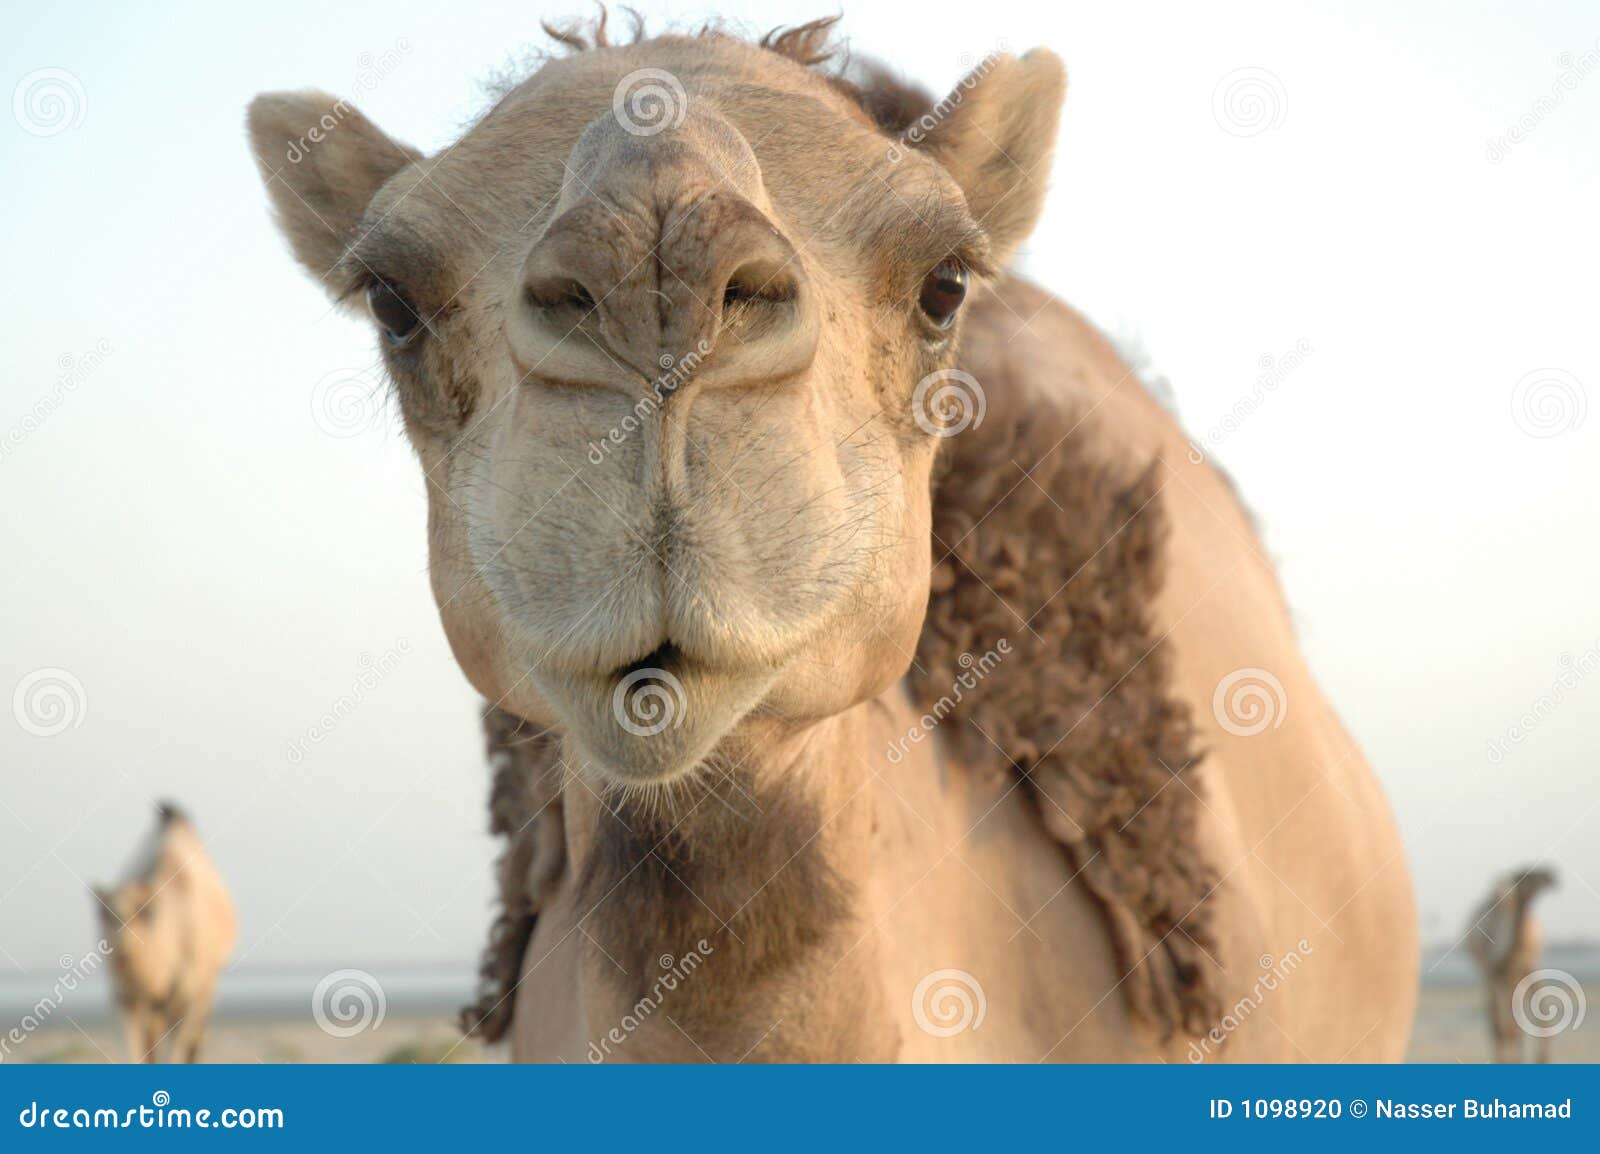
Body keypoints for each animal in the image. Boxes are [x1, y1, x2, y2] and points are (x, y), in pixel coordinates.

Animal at [93, 803, 236, 1062]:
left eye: (142, 915)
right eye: (105, 915)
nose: (120, 950)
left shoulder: (185, 991)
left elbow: (178, 1045)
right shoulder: (127, 997)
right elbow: (137, 1049)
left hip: (207, 980)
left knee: (196, 1034)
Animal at [1466, 865, 1558, 1062]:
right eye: (1526, 875)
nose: (1552, 875)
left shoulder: (1525, 968)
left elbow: (1527, 1018)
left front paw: (1535, 1058)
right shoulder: (1495, 973)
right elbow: (1503, 1026)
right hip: (1490, 974)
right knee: (1496, 1020)